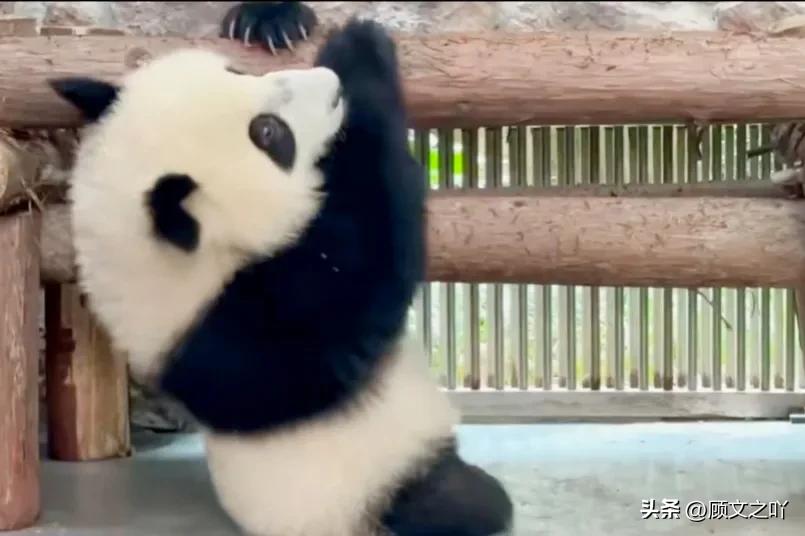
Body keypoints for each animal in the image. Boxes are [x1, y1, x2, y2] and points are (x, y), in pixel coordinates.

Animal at [50, 18, 513, 536]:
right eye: (269, 133)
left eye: (235, 72)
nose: (328, 84)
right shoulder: (250, 323)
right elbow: (368, 250)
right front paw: (359, 54)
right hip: (370, 485)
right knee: (450, 502)